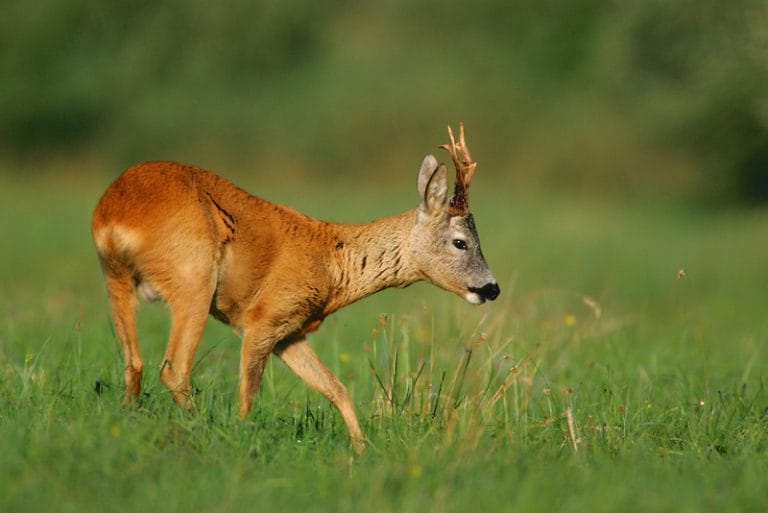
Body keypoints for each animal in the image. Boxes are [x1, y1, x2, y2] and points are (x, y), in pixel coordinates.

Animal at [91, 123, 499, 452]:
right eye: (461, 242)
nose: (491, 288)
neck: (334, 265)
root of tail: (113, 214)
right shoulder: (264, 318)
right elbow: (248, 393)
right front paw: (240, 436)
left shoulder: (290, 331)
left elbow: (337, 388)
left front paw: (362, 448)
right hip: (193, 277)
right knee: (173, 369)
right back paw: (198, 429)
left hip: (116, 277)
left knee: (133, 362)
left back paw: (128, 421)